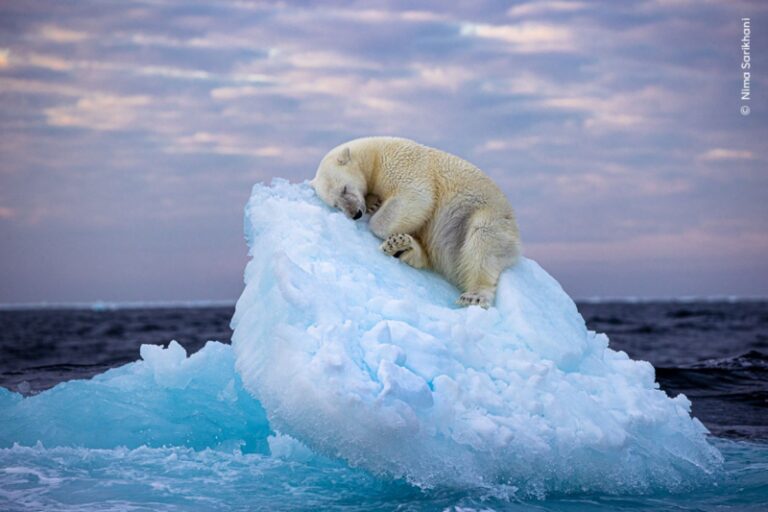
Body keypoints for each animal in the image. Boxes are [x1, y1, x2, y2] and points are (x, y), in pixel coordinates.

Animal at [310, 136, 521, 308]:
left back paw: (474, 296)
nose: (355, 213)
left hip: (487, 215)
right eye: (335, 204)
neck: (374, 154)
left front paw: (376, 215)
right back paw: (401, 246)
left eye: (344, 189)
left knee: (483, 242)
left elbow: (416, 196)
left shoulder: (401, 163)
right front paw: (373, 203)